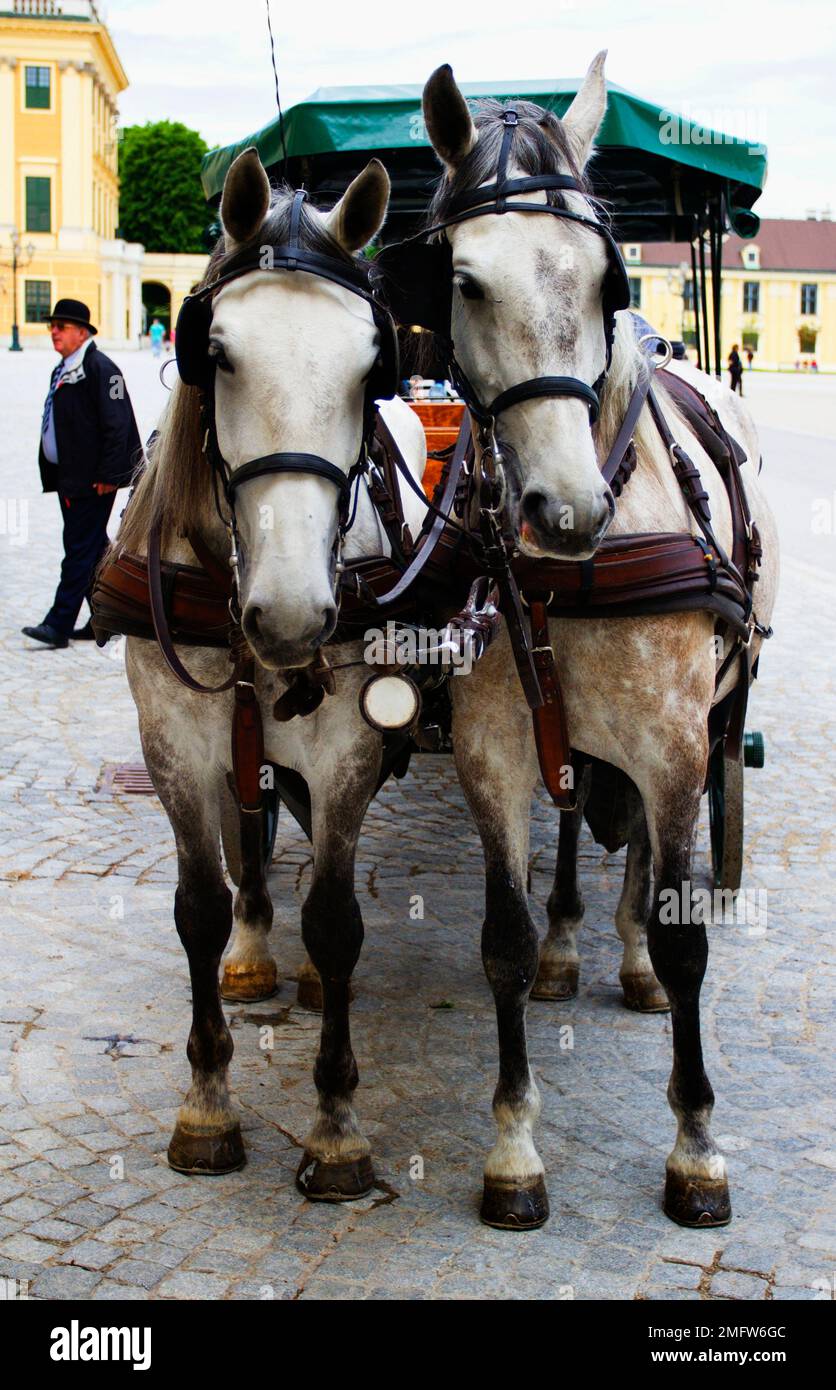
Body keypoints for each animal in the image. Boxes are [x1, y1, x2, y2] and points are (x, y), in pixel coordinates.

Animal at [110, 150, 429, 1194]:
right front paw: (207, 1104)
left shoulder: (349, 746)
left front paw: (336, 1126)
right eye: (215, 352)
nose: (290, 614)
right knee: (247, 829)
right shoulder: (172, 741)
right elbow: (199, 907)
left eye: (372, 365)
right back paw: (254, 947)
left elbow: (334, 918)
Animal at [410, 54, 779, 1228]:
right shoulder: (491, 747)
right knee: (578, 832)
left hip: (708, 720)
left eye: (610, 282)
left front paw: (696, 1145)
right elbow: (503, 940)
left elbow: (682, 926)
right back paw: (580, 938)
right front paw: (513, 1148)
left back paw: (630, 958)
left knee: (663, 867)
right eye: (464, 281)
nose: (563, 508)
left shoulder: (670, 745)